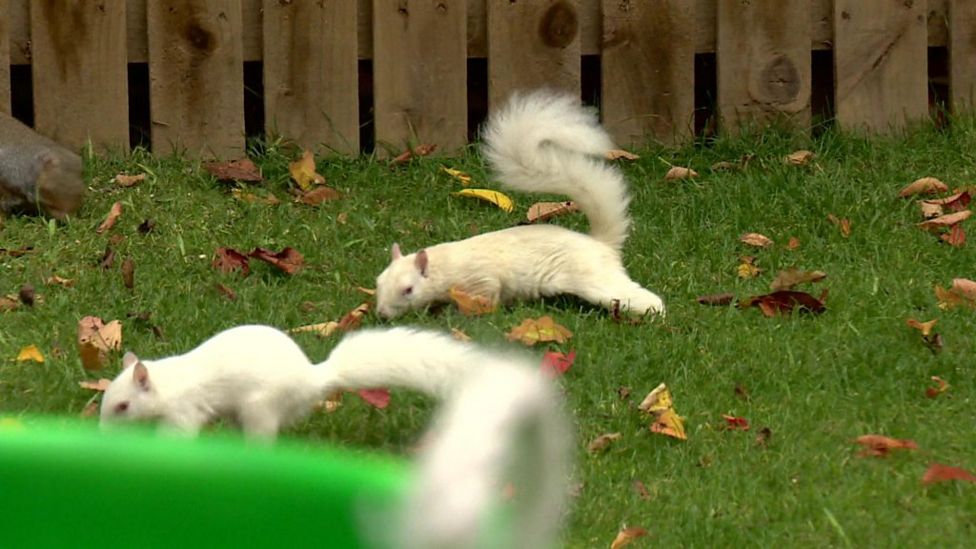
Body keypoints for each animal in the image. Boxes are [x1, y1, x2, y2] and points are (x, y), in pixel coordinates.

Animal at [99, 324, 523, 440]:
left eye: (123, 406)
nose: (101, 431)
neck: (168, 380)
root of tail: (312, 379)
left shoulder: (186, 410)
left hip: (260, 407)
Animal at [374, 90, 665, 319]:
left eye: (408, 289)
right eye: (378, 282)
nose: (382, 314)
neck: (444, 266)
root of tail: (599, 245)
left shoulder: (481, 280)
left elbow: (486, 296)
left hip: (595, 280)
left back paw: (653, 311)